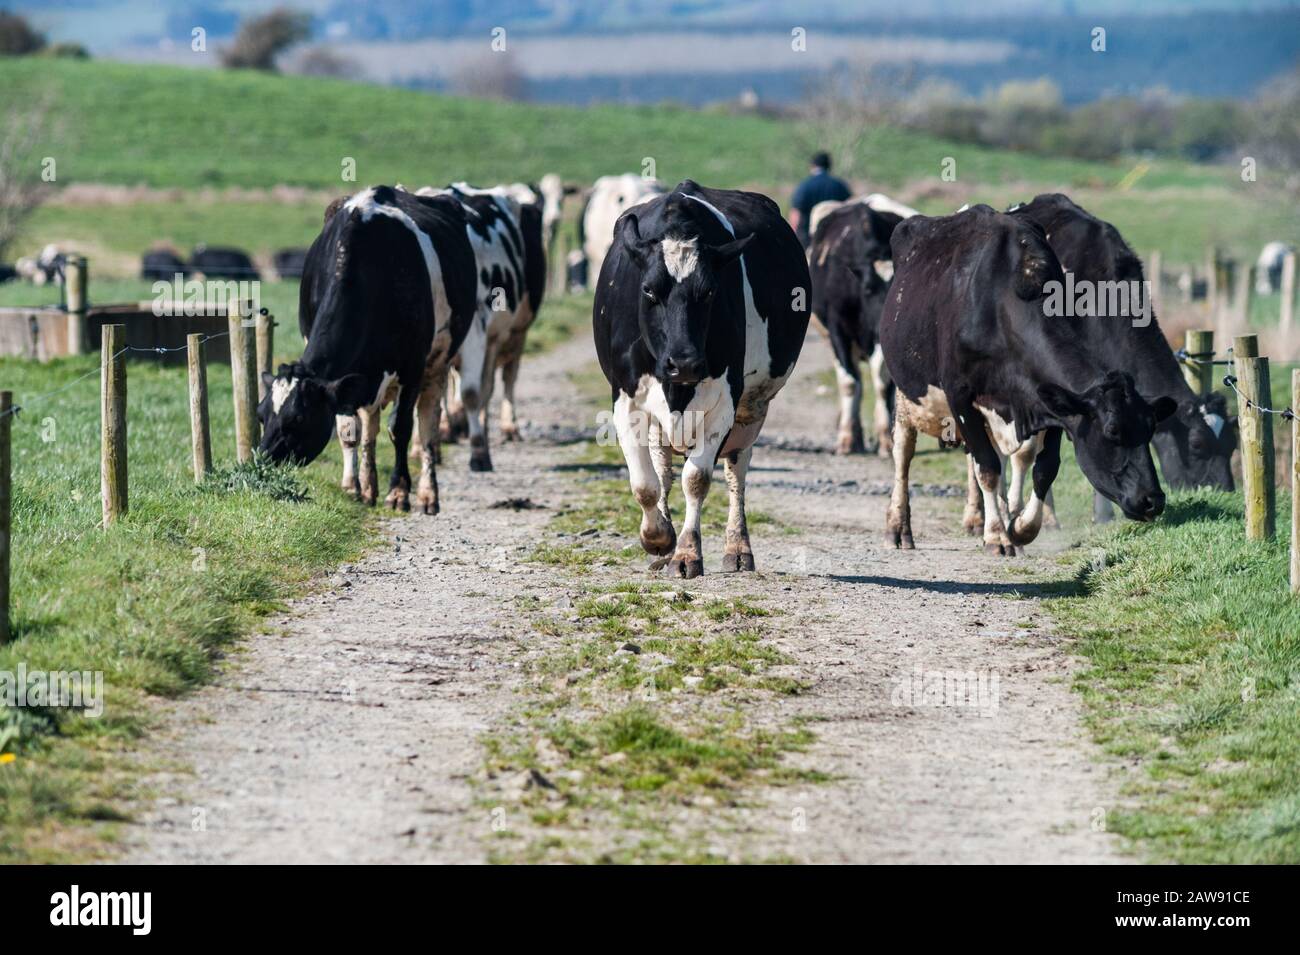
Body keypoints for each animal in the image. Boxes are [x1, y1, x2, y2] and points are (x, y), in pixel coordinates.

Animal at [258, 185, 477, 515]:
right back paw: (368, 484)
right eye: (260, 415)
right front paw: (353, 488)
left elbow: (400, 427)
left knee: (428, 421)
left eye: (296, 419)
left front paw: (398, 492)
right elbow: (349, 429)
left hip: (439, 361)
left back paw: (428, 494)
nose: (260, 464)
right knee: (370, 423)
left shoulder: (412, 365)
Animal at [414, 182, 547, 469]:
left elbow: (475, 391)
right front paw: (425, 446)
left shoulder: (483, 336)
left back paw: (503, 428)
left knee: (502, 379)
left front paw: (479, 451)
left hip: (511, 334)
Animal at [594, 180, 810, 578]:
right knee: (662, 467)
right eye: (648, 289)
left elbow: (696, 479)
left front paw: (686, 553)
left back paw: (738, 548)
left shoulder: (725, 403)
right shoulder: (626, 400)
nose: (685, 363)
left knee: (736, 470)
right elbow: (644, 484)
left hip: (753, 407)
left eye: (709, 291)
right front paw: (658, 538)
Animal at [807, 195, 917, 456]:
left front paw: (886, 439)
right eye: (868, 288)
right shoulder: (837, 328)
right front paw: (847, 438)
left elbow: (883, 383)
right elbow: (849, 383)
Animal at [880, 205, 1176, 556]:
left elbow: (1045, 468)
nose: (1153, 500)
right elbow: (988, 467)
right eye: (1112, 431)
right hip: (904, 390)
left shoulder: (1052, 402)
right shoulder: (960, 395)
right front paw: (997, 536)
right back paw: (899, 527)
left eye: (1150, 428)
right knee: (903, 452)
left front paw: (1021, 528)